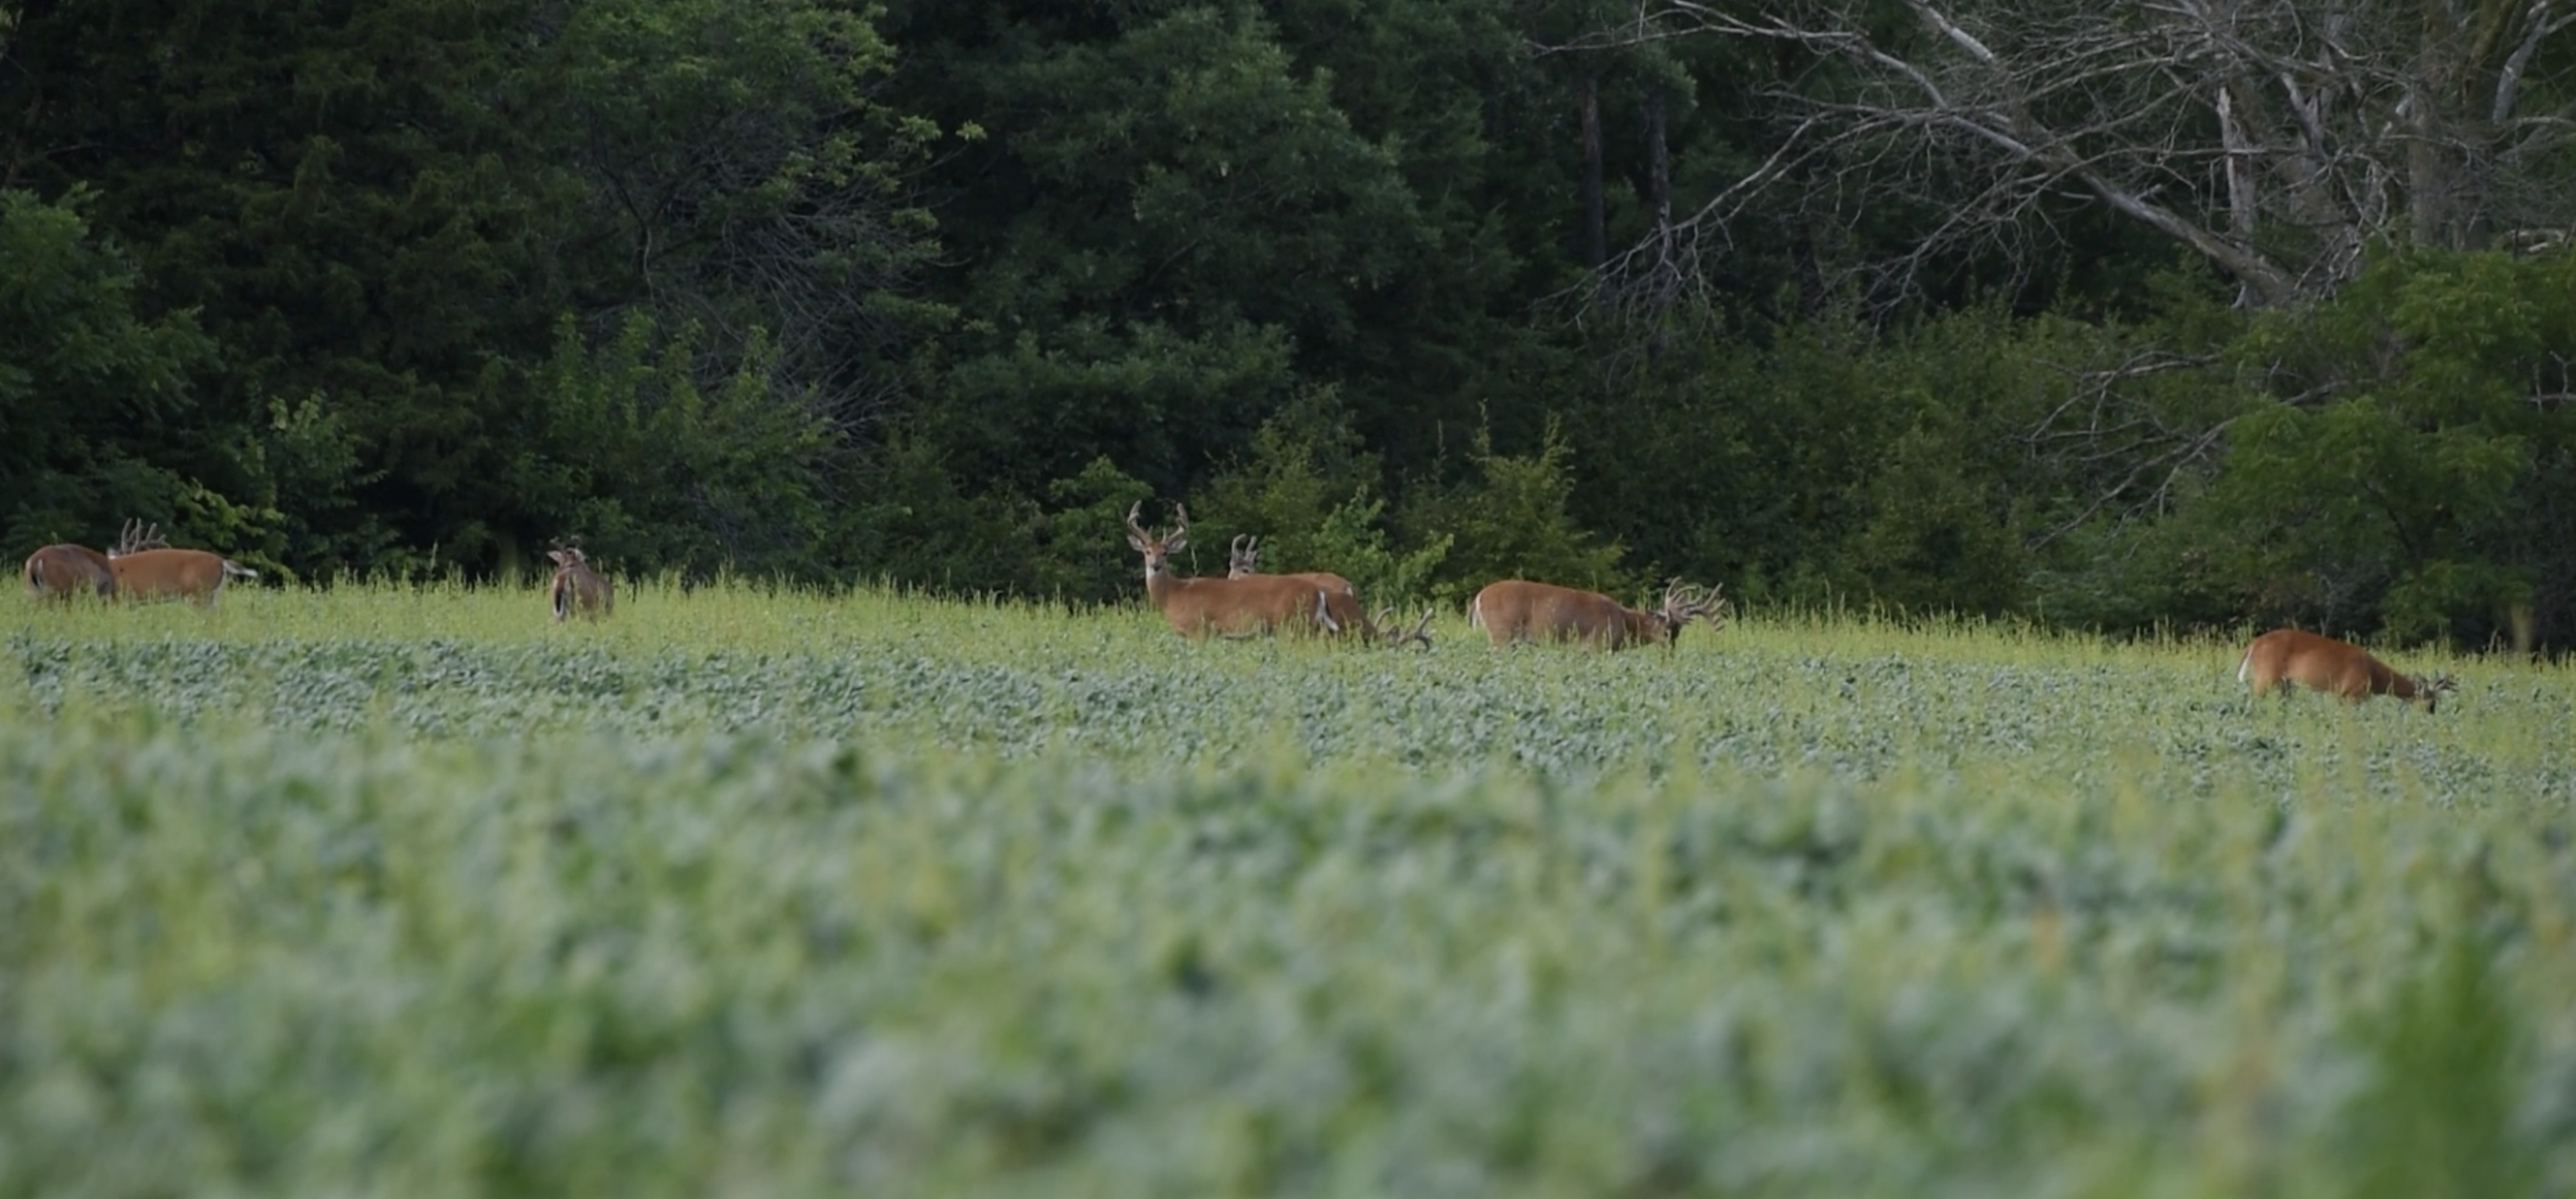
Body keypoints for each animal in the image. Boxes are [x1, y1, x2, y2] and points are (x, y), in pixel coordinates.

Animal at [1126, 503, 1344, 639]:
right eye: (1146, 551)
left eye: (1165, 553)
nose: (1155, 565)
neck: (1174, 594)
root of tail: (1319, 592)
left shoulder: (1199, 629)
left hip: (1294, 624)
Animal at [1469, 578, 1725, 651]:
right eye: (1667, 630)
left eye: (1678, 634)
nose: (1670, 652)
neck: (1623, 621)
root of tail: (1479, 596)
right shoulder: (1597, 645)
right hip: (1501, 633)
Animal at [2236, 628, 2456, 712]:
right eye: (2431, 703)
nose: (2432, 714)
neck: (2373, 675)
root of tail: (2254, 643)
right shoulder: (2350, 692)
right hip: (2265, 675)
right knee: (2251, 697)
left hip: (2285, 683)